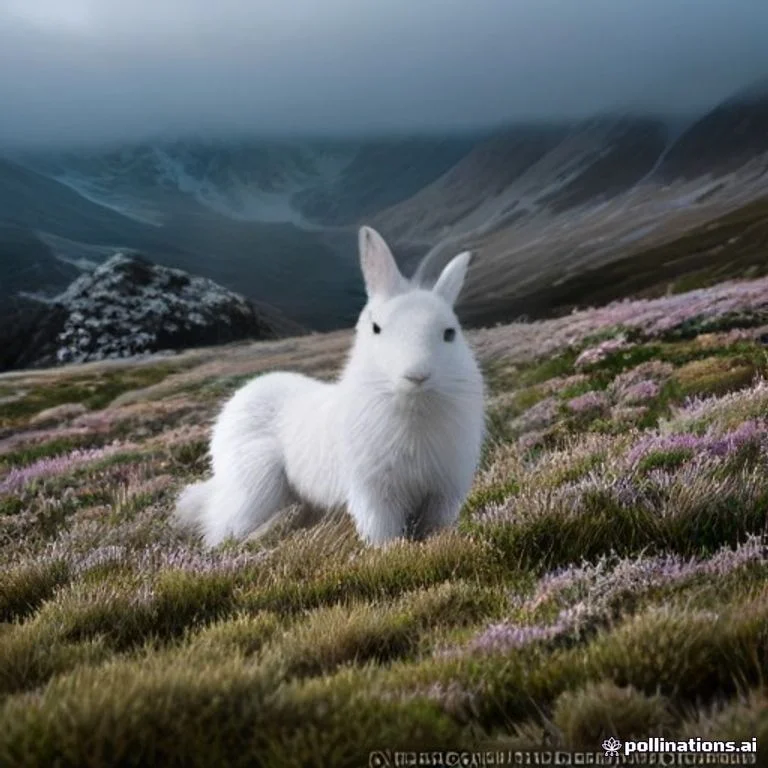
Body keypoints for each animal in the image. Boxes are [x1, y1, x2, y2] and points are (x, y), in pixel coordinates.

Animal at [174, 226, 485, 547]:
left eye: (450, 333)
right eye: (376, 329)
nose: (417, 375)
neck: (412, 406)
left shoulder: (445, 491)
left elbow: (436, 525)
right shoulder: (373, 494)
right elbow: (381, 530)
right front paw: (387, 549)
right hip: (255, 485)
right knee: (219, 526)